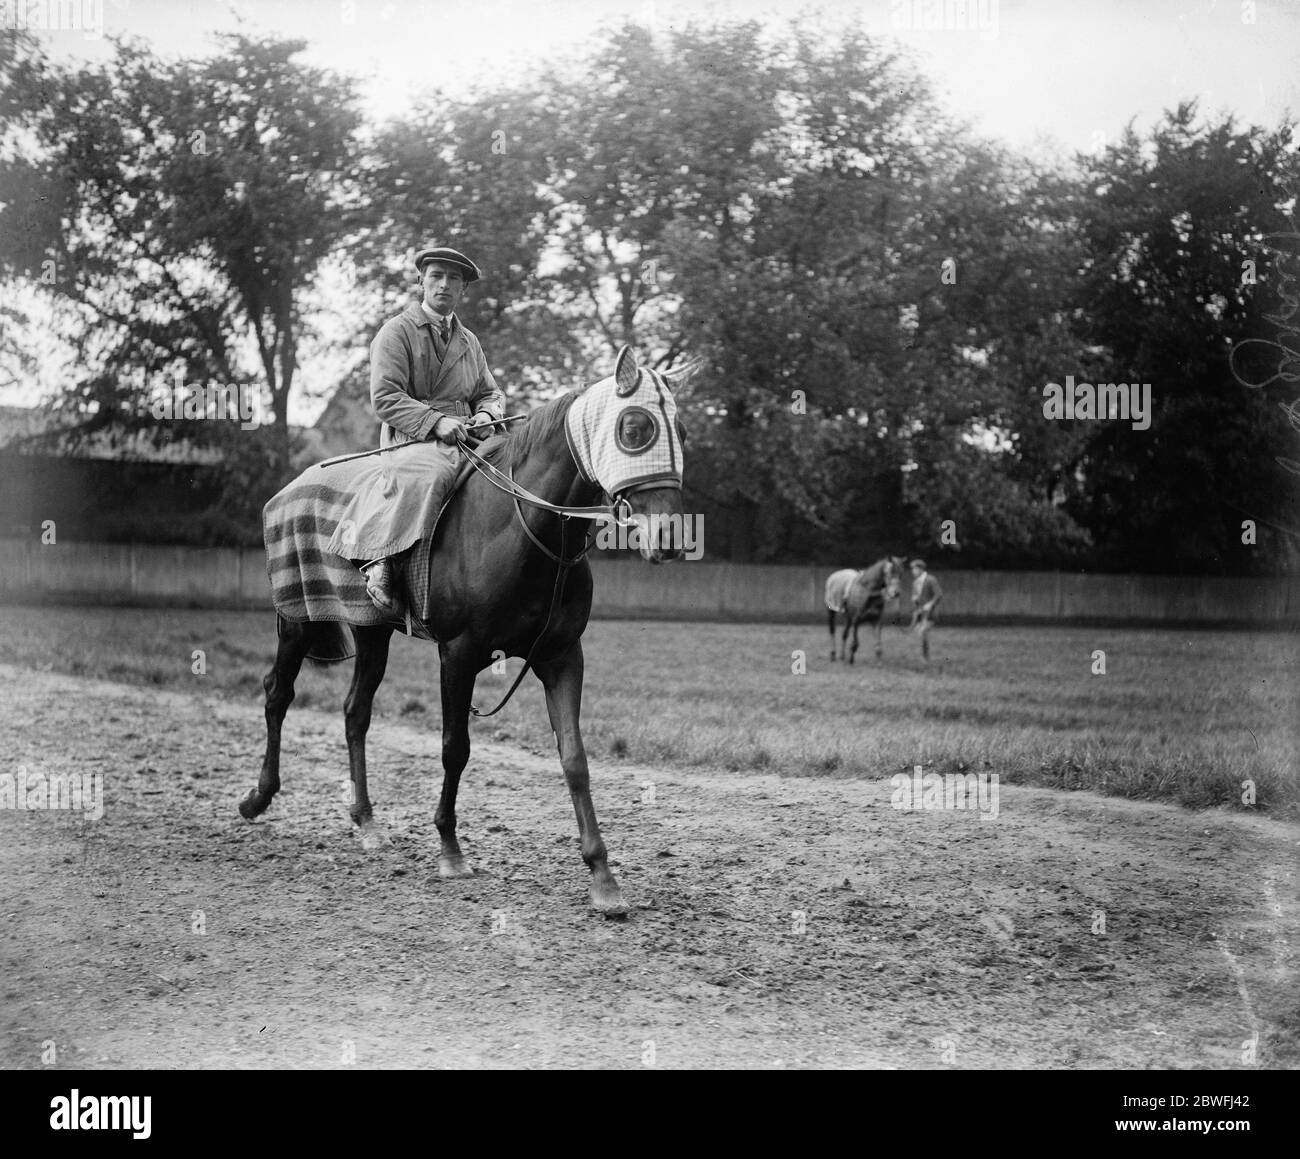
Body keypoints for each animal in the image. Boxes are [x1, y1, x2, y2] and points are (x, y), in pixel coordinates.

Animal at [244, 343, 691, 914]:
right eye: (634, 428)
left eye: (681, 430)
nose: (671, 537)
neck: (522, 527)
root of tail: (288, 490)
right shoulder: (458, 655)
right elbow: (455, 749)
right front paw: (450, 849)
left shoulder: (562, 656)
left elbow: (574, 758)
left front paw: (603, 877)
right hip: (297, 621)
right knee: (277, 693)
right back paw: (258, 797)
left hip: (372, 632)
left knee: (354, 712)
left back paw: (366, 820)